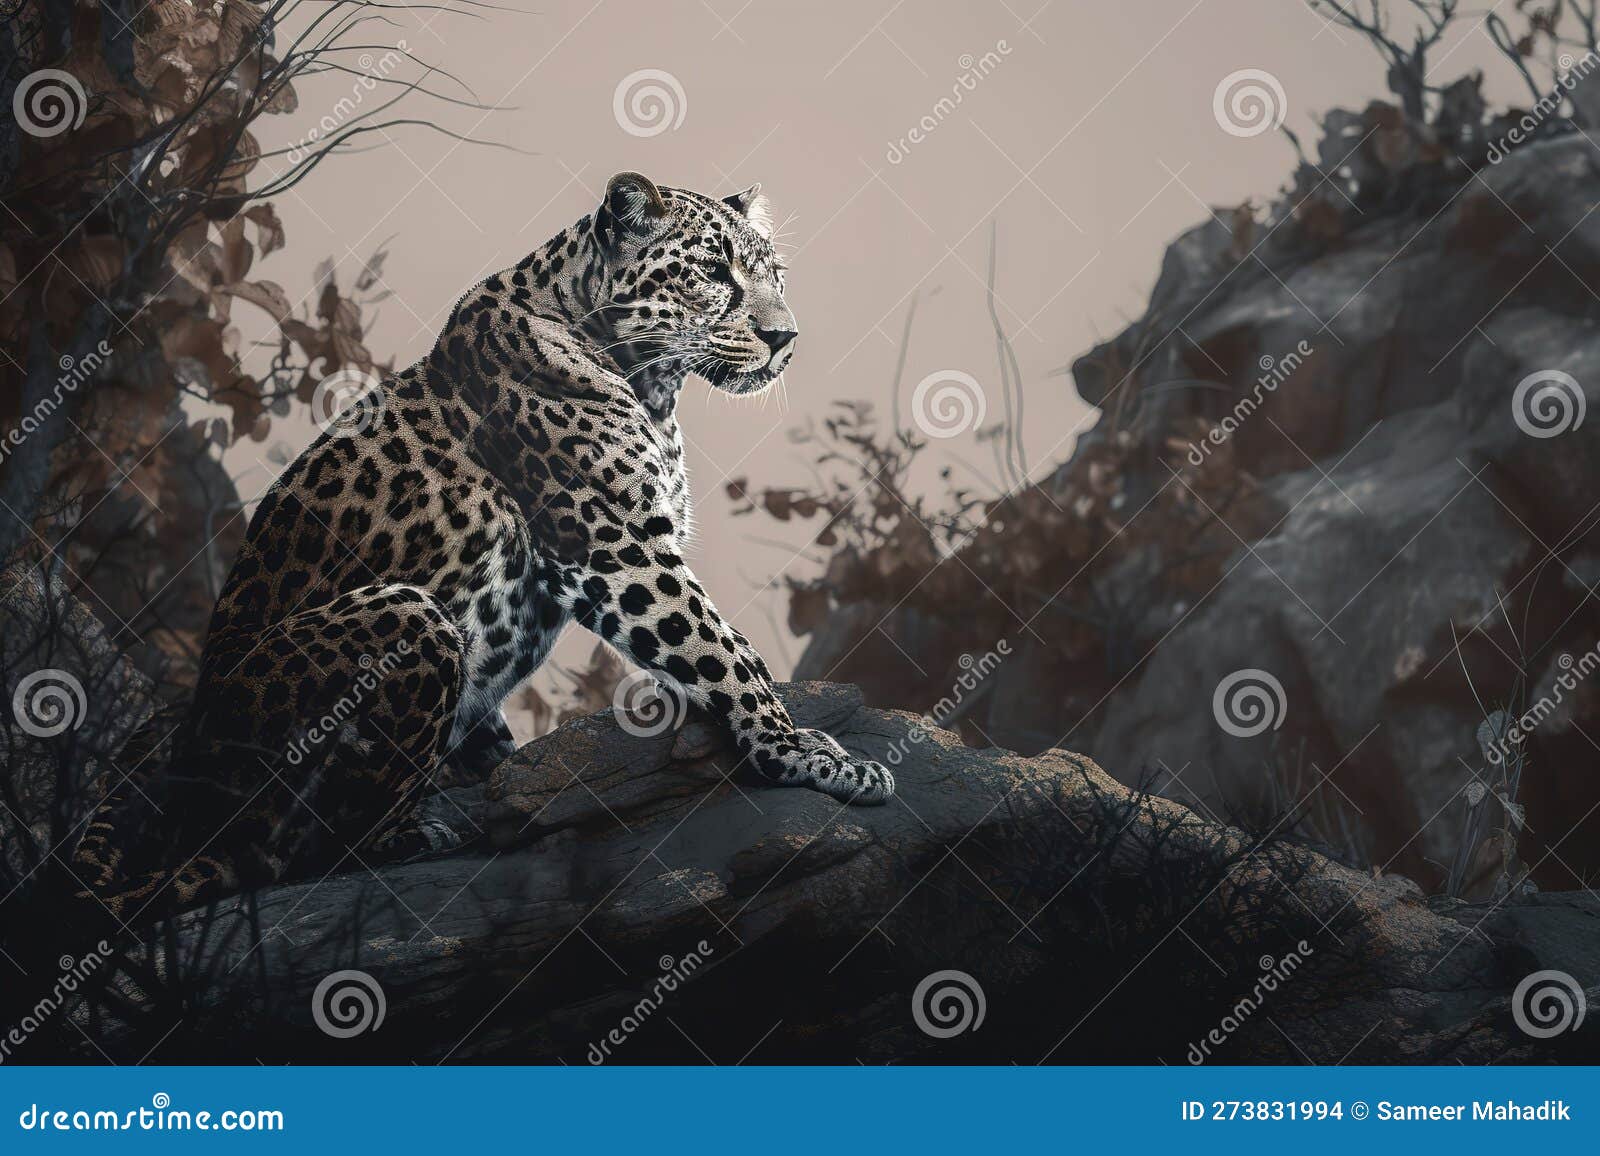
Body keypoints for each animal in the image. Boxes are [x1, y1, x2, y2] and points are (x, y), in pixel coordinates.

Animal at [71, 173, 894, 923]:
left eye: (773, 273)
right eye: (713, 273)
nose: (785, 339)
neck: (653, 386)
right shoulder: (618, 546)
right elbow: (725, 650)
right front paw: (810, 754)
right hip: (407, 619)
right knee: (299, 849)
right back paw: (421, 833)